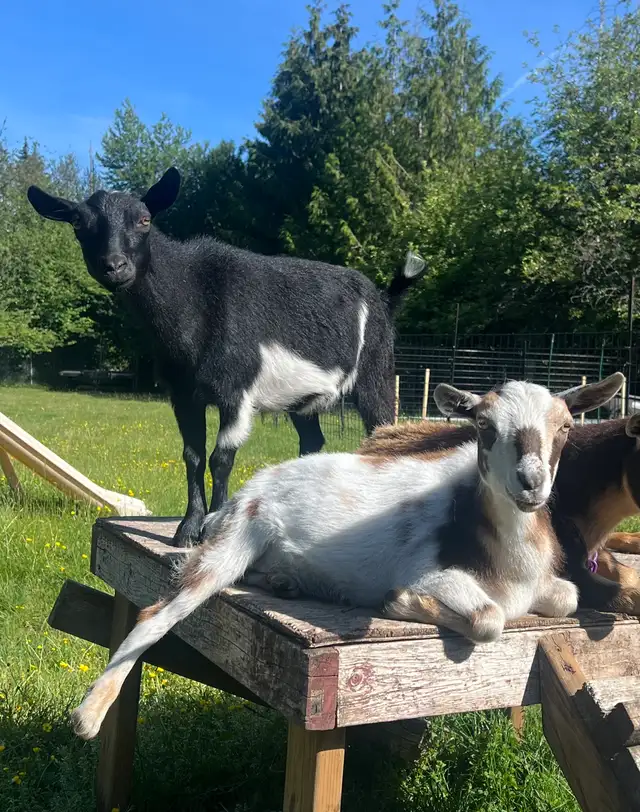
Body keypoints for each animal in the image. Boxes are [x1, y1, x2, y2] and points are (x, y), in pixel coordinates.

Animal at [27, 169, 425, 547]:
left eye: (144, 219)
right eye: (78, 224)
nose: (114, 266)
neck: (195, 303)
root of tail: (383, 299)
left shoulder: (236, 392)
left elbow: (221, 458)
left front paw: (214, 526)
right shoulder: (183, 395)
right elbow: (193, 456)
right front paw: (187, 529)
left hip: (377, 374)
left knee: (382, 432)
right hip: (302, 400)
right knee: (312, 443)